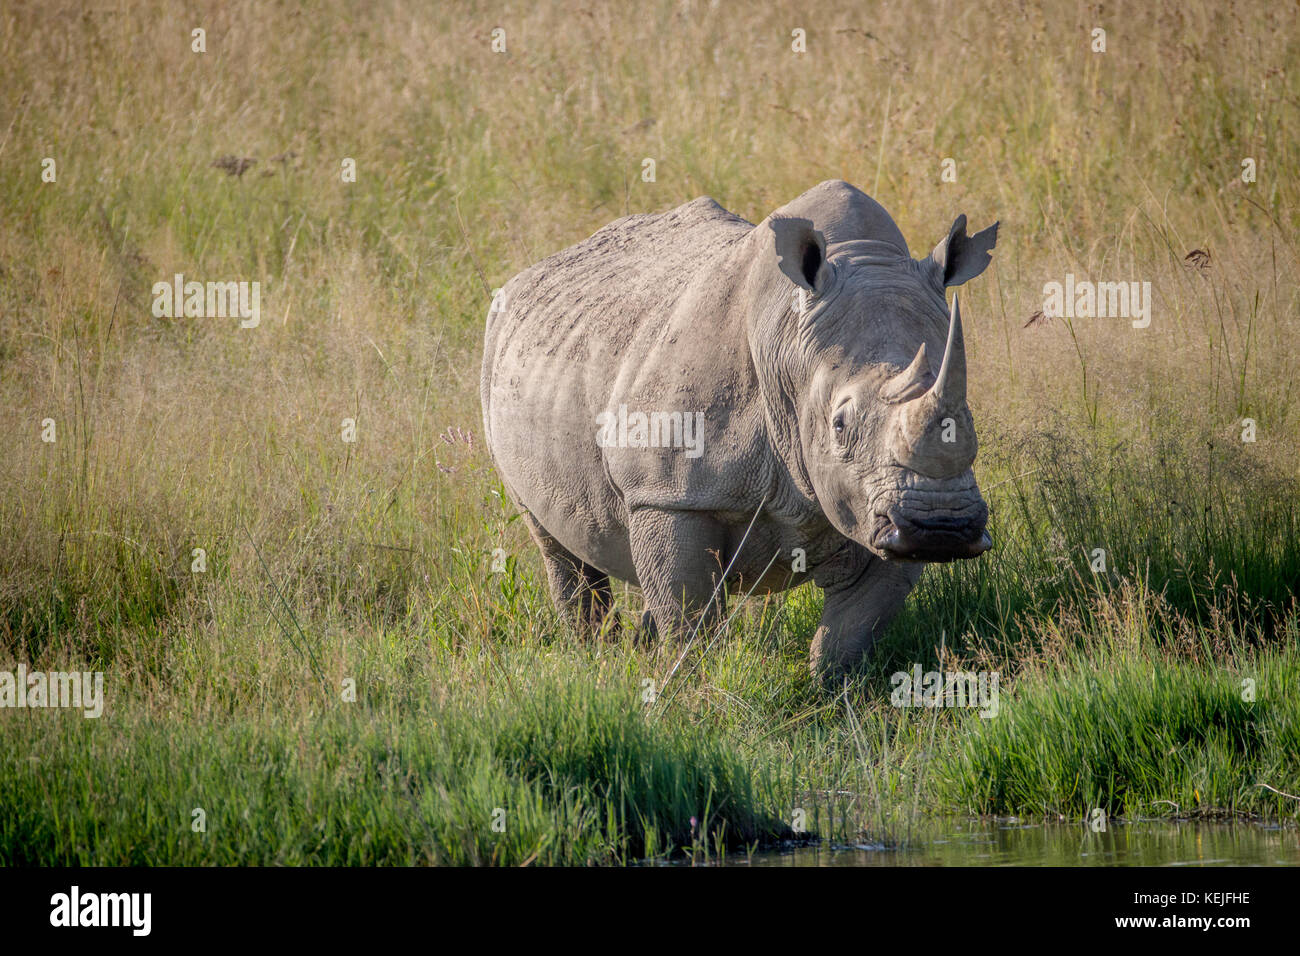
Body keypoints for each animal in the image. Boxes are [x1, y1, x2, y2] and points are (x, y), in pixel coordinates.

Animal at [480, 180, 998, 680]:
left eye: (968, 420)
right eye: (840, 425)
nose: (942, 527)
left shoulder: (876, 510)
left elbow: (851, 634)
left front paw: (832, 693)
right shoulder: (668, 494)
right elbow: (689, 618)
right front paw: (692, 688)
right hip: (499, 352)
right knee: (555, 543)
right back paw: (593, 653)